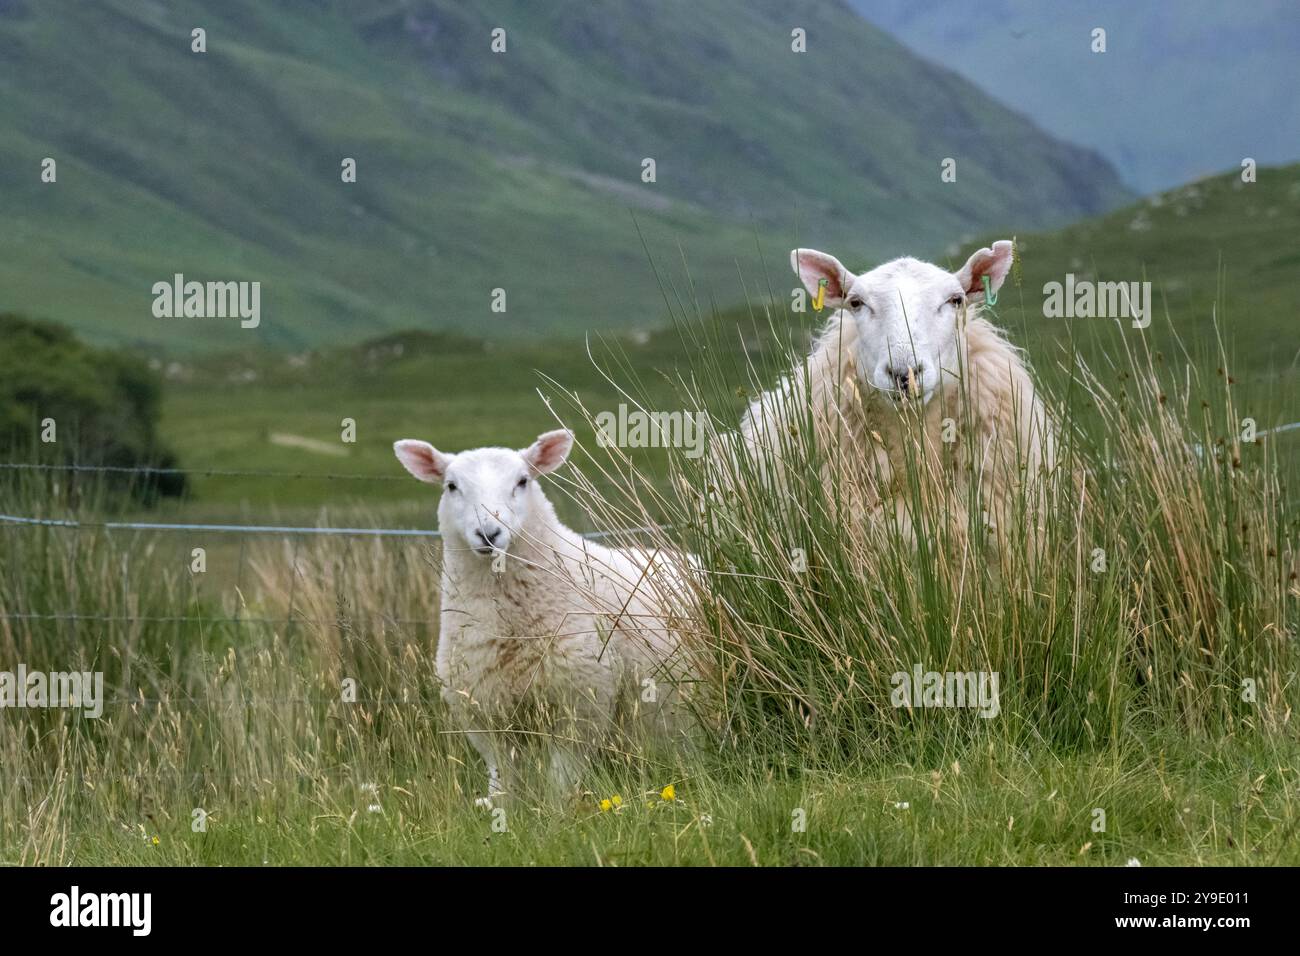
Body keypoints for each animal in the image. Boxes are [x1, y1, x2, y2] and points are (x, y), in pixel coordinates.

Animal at [394, 428, 695, 804]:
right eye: (451, 486)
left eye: (522, 481)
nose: (489, 534)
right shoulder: (487, 715)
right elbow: (504, 782)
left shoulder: (580, 705)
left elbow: (560, 783)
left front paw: (556, 814)